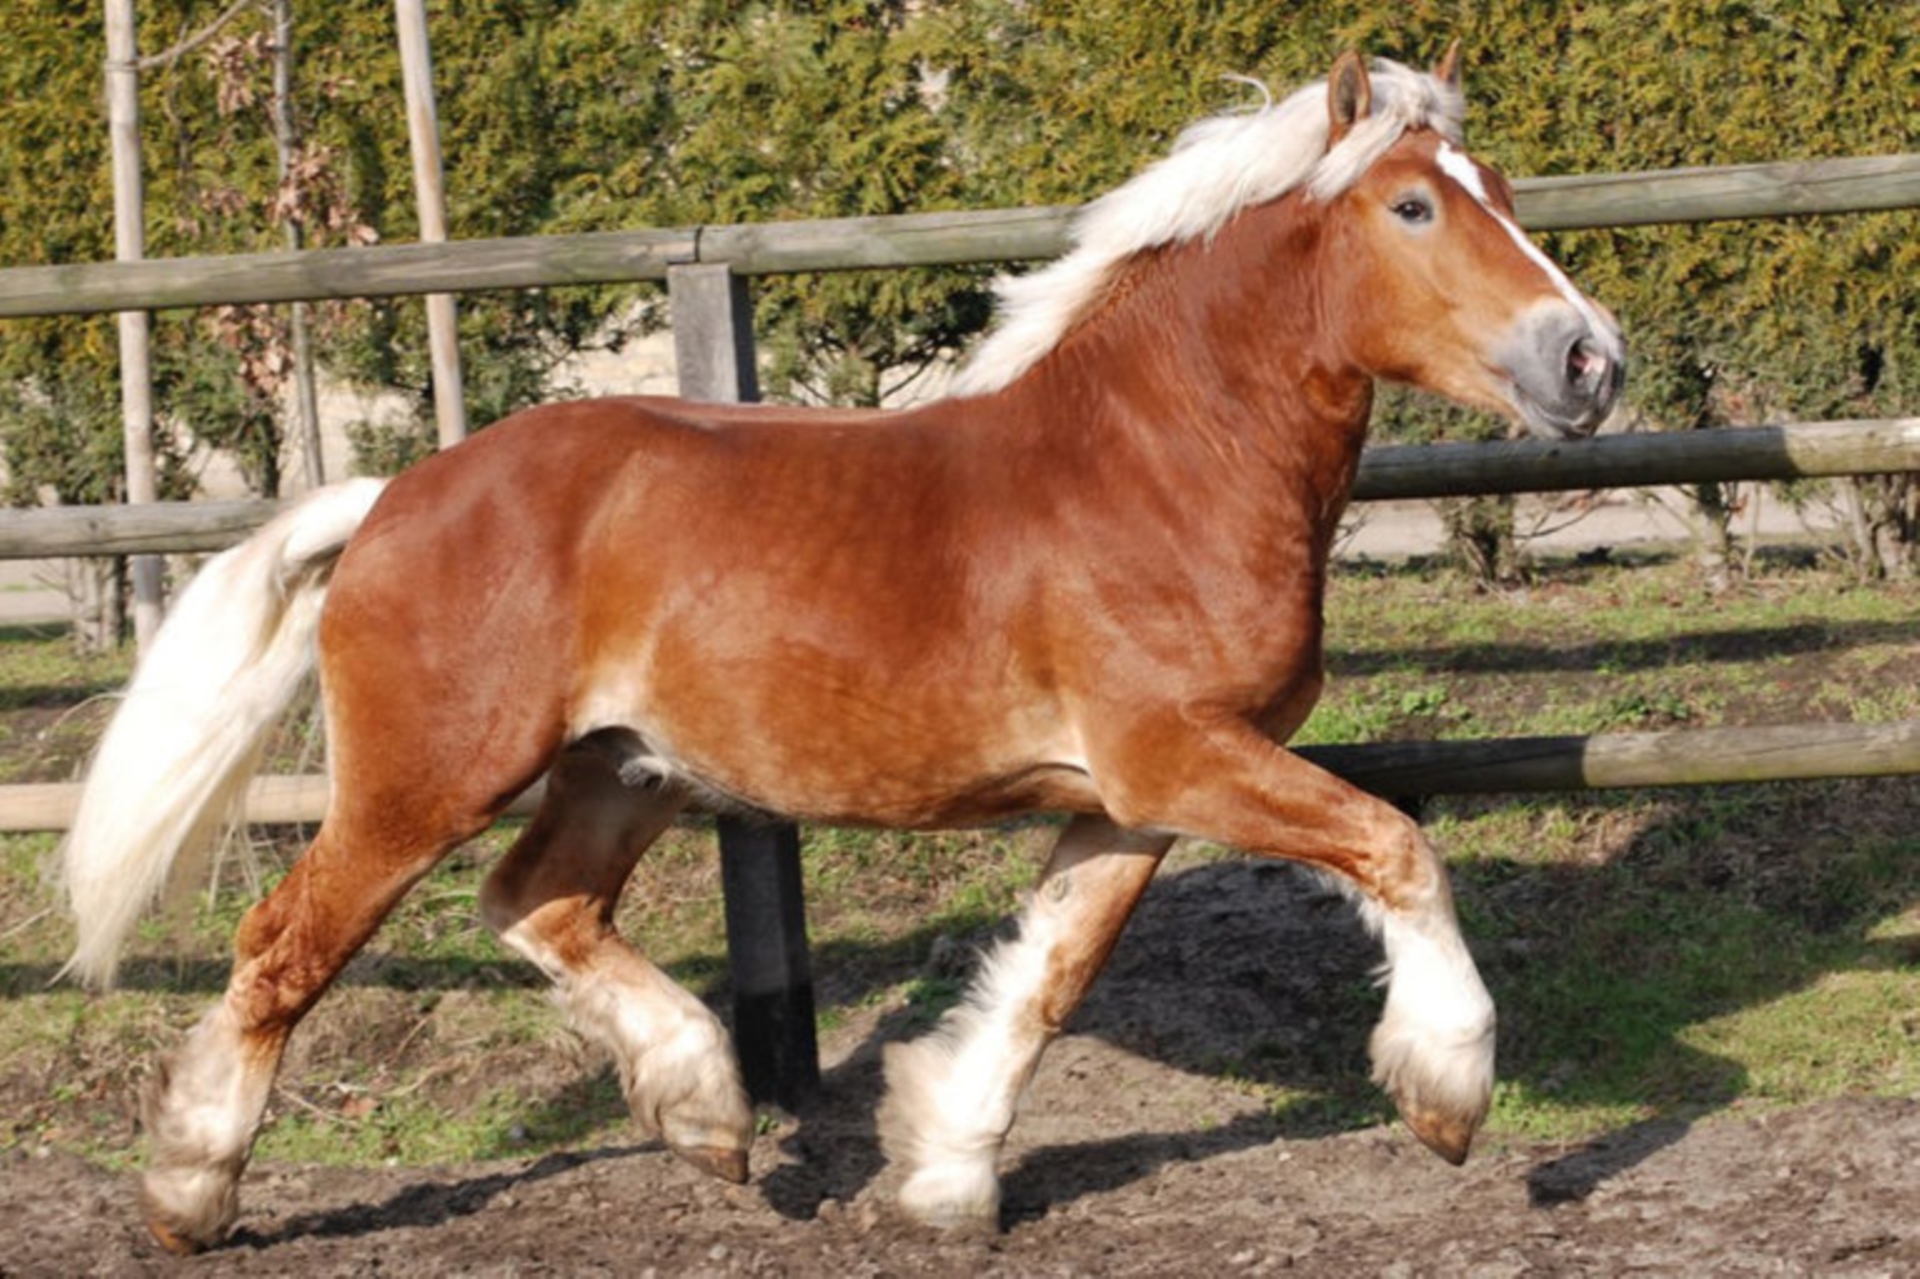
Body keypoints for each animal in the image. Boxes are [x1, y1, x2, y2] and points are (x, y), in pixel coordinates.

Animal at [61, 50, 1622, 1252]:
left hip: (622, 767)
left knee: (536, 901)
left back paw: (707, 1114)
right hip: (426, 778)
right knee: (287, 944)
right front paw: (1447, 1095)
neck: (1155, 463)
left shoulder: (1129, 795)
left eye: (1505, 196)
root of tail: (392, 497)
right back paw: (189, 1197)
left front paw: (943, 1178)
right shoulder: (1180, 755)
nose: (1592, 362)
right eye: (1413, 202)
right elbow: (1395, 843)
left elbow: (1049, 975)